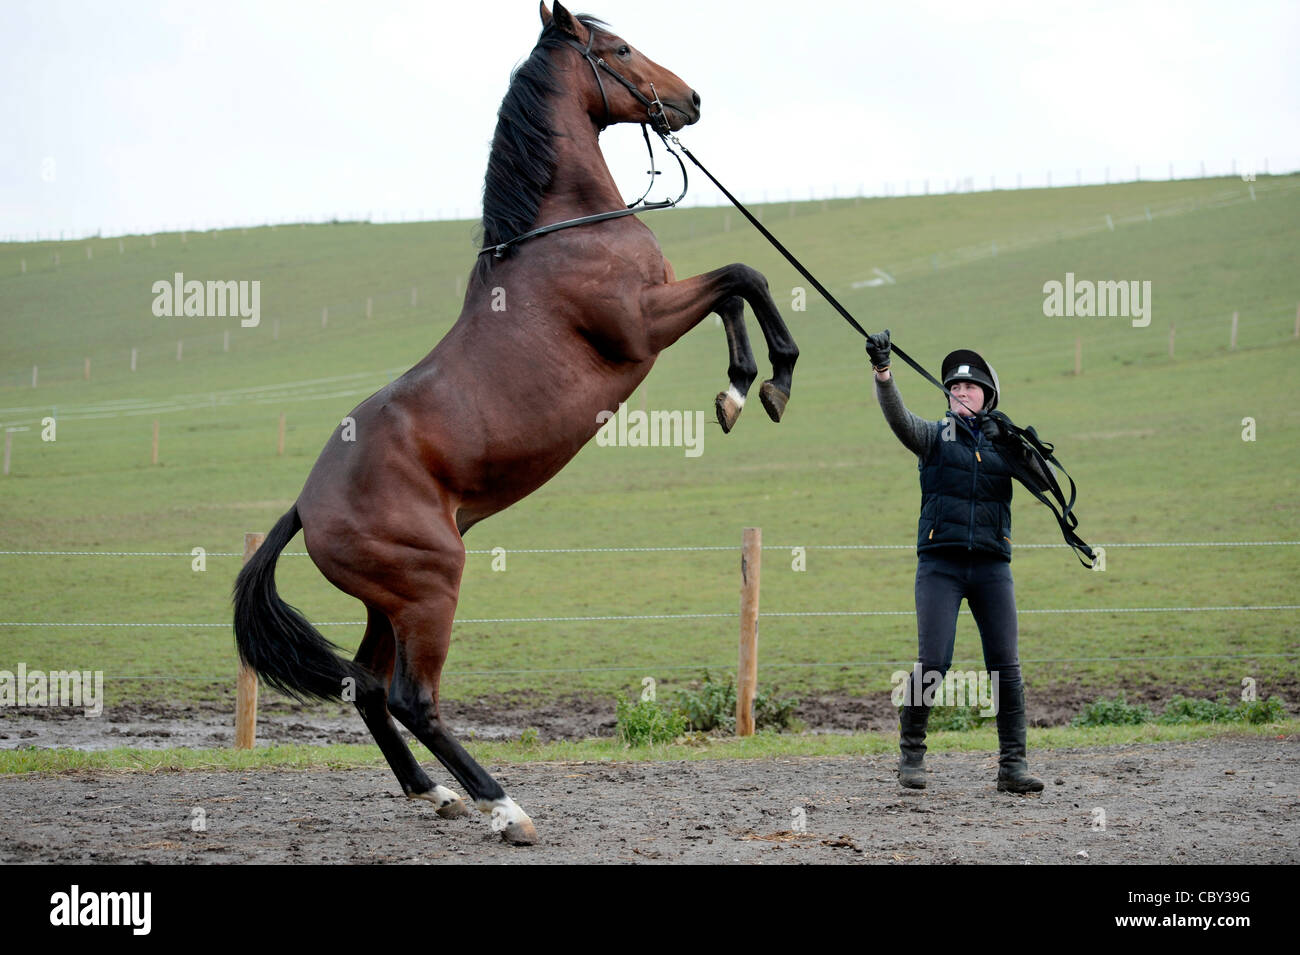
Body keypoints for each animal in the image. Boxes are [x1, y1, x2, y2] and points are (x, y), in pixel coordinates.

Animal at [233, 1, 799, 845]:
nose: (691, 100)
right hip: (432, 587)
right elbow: (744, 276)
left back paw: (433, 792)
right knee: (413, 699)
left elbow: (732, 294)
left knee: (368, 687)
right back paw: (504, 807)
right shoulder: (643, 324)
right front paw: (772, 379)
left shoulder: (663, 310)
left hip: (389, 602)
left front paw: (737, 389)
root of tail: (306, 503)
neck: (568, 228)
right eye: (619, 47)